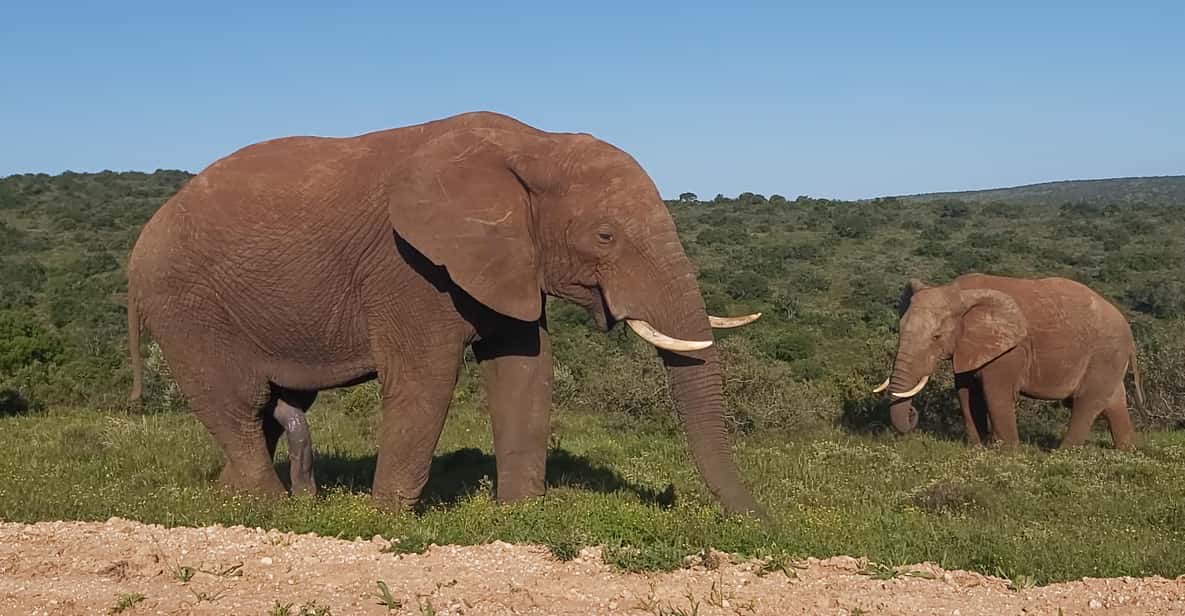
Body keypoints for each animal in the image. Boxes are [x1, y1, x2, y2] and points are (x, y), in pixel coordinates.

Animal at [125, 111, 765, 516]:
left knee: (269, 408)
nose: (760, 524)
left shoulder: (507, 261)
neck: (533, 144)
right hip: (184, 304)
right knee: (237, 402)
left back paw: (233, 497)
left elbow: (525, 370)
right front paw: (382, 519)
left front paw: (519, 516)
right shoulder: (407, 265)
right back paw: (270, 507)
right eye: (605, 236)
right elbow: (425, 378)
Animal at [871, 273, 1143, 449]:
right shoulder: (969, 346)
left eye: (936, 337)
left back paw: (1062, 453)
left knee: (1086, 403)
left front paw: (1006, 452)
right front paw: (977, 448)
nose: (913, 414)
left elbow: (996, 394)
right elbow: (967, 394)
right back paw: (1126, 450)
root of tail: (1129, 331)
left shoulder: (1010, 350)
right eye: (899, 329)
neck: (960, 294)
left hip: (1105, 353)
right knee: (1113, 402)